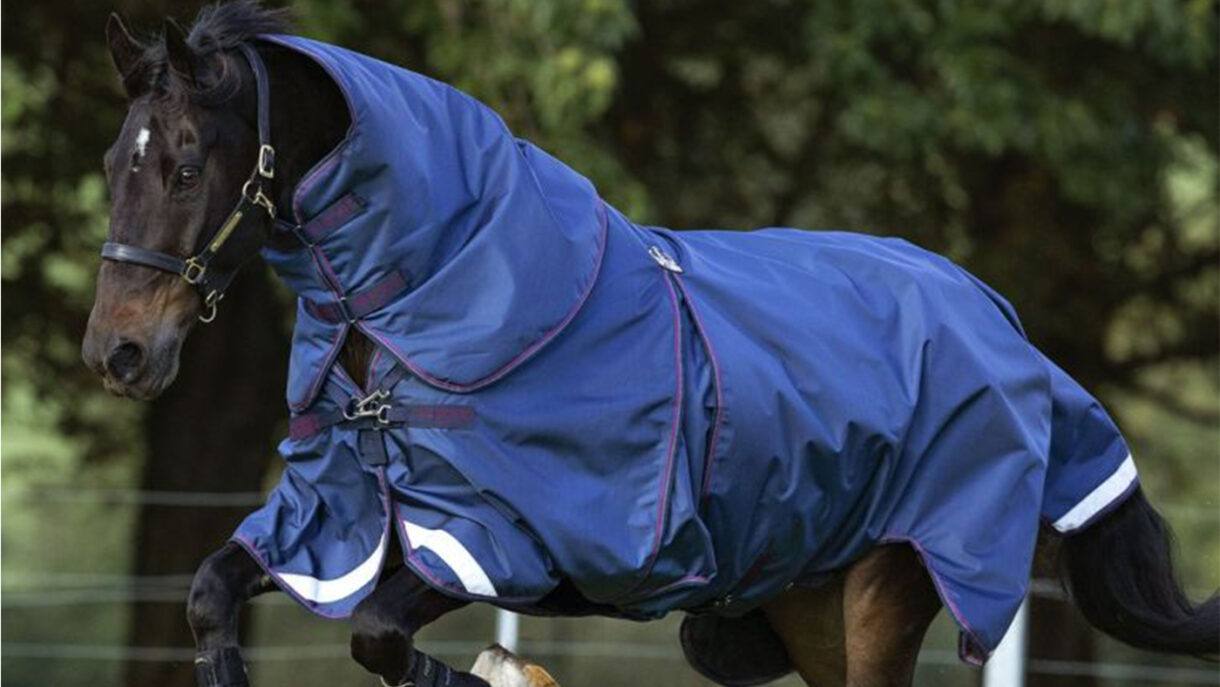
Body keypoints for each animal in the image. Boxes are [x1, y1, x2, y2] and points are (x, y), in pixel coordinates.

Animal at [81, 4, 1218, 687]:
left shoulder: (505, 540)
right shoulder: (343, 519)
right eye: (112, 161)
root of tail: (999, 319)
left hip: (884, 590)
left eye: (186, 165)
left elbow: (379, 637)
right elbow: (212, 592)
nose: (117, 354)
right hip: (807, 600)